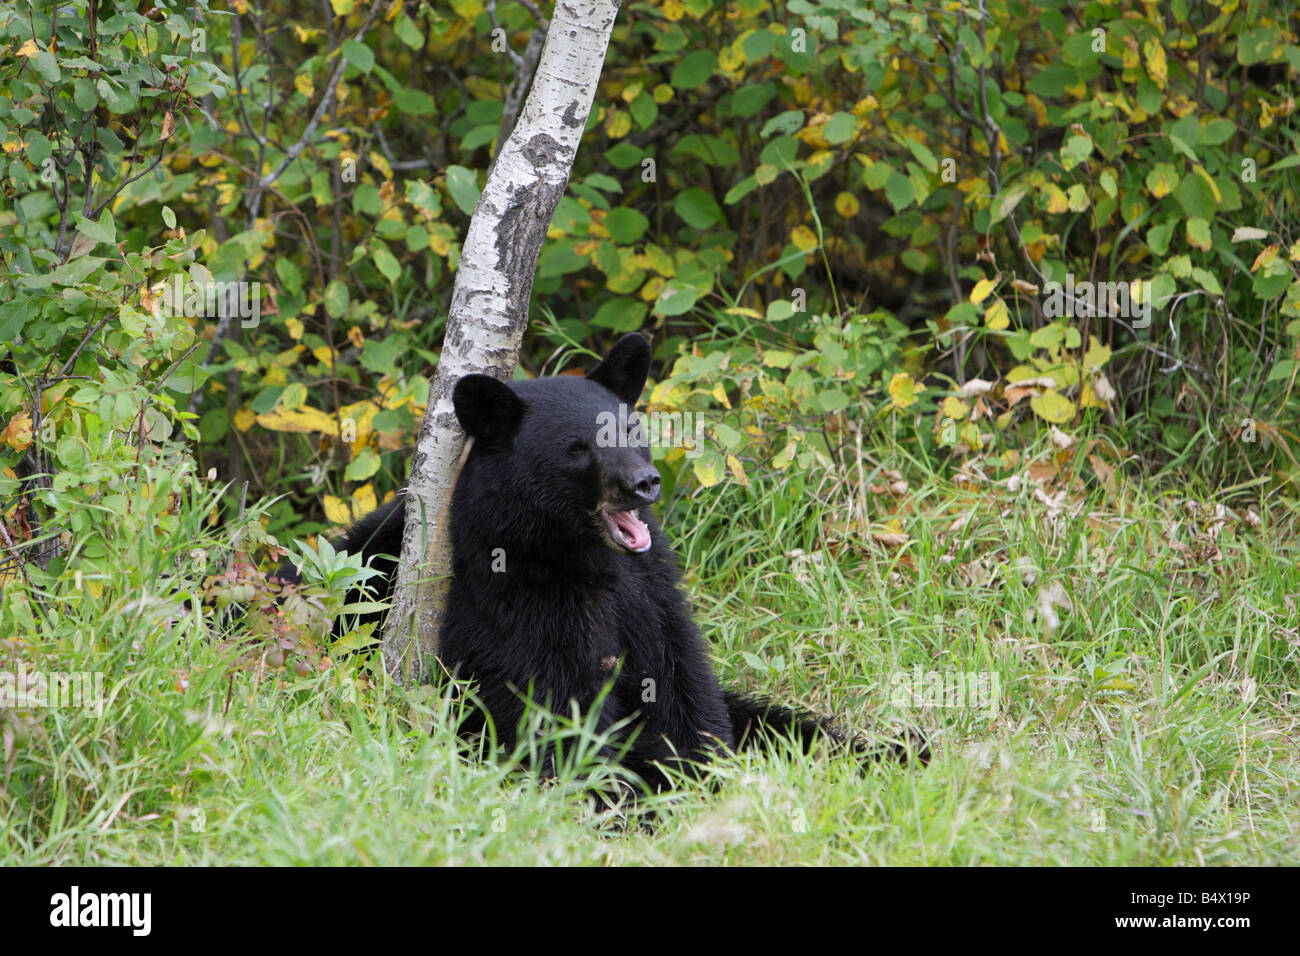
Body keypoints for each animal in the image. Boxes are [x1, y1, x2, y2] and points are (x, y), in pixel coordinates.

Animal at [283, 333, 922, 789]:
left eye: (629, 426)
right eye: (577, 448)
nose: (644, 482)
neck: (583, 558)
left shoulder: (648, 596)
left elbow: (685, 695)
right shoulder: (514, 607)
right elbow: (554, 717)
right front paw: (630, 805)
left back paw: (896, 747)